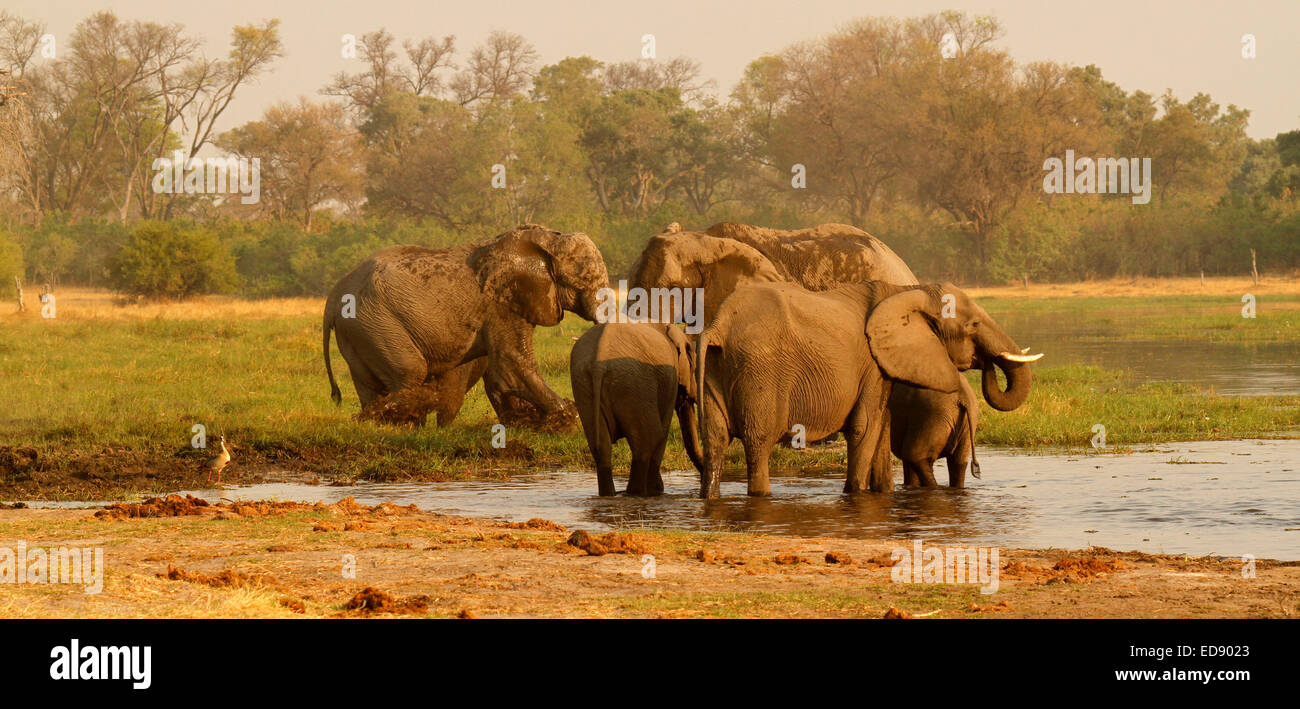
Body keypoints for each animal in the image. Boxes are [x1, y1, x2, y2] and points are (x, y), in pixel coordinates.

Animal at [323, 224, 610, 429]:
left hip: (357, 331)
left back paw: (380, 421)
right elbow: (511, 364)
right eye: (586, 280)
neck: (546, 240)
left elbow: (496, 370)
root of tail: (333, 297)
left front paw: (524, 423)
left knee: (370, 384)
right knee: (411, 372)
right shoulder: (501, 304)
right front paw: (567, 420)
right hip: (374, 323)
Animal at [569, 322, 704, 496]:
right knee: (647, 441)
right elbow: (662, 432)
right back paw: (639, 493)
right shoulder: (670, 380)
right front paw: (657, 491)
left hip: (584, 387)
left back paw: (611, 495)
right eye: (694, 366)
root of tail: (598, 362)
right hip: (635, 386)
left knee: (601, 449)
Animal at [694, 280, 1041, 498]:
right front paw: (856, 494)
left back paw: (709, 497)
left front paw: (882, 493)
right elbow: (865, 427)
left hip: (714, 367)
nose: (986, 364)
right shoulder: (872, 364)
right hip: (761, 370)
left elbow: (880, 424)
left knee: (715, 441)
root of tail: (719, 325)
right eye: (973, 326)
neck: (908, 292)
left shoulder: (881, 367)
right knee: (759, 444)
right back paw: (761, 495)